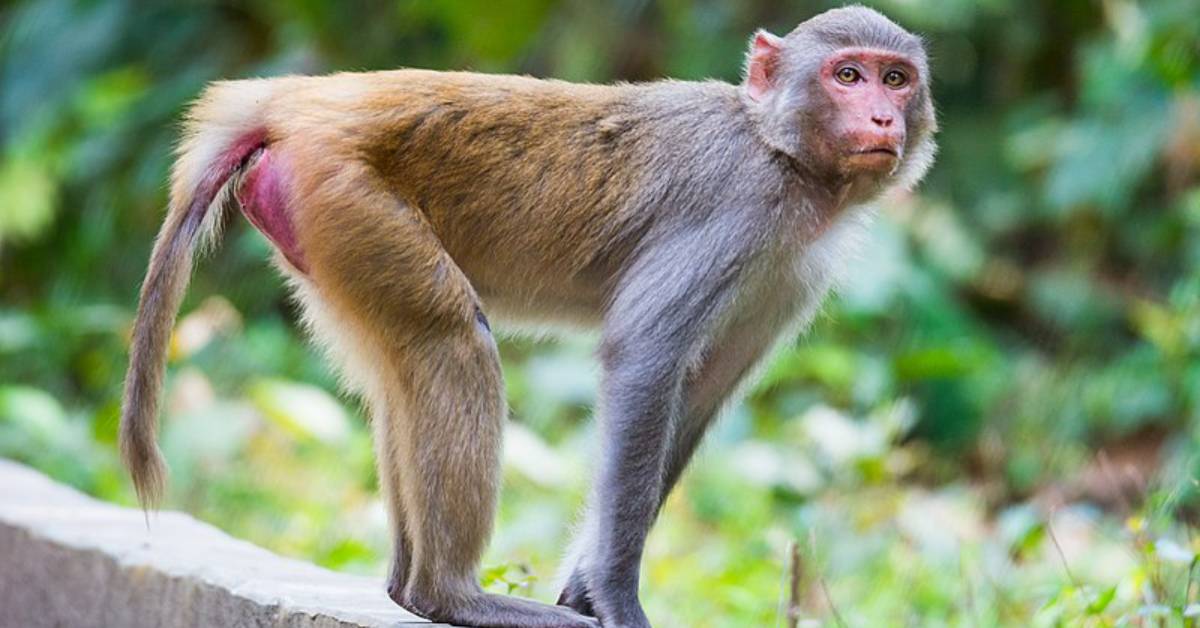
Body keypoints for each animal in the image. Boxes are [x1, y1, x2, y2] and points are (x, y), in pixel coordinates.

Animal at [119, 6, 934, 628]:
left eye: (896, 78)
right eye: (848, 75)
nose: (883, 115)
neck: (785, 156)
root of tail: (295, 103)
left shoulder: (790, 273)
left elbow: (699, 396)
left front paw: (582, 588)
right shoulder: (737, 211)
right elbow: (645, 361)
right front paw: (615, 598)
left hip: (325, 234)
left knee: (402, 370)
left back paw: (407, 589)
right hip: (348, 196)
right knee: (452, 341)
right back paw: (449, 596)